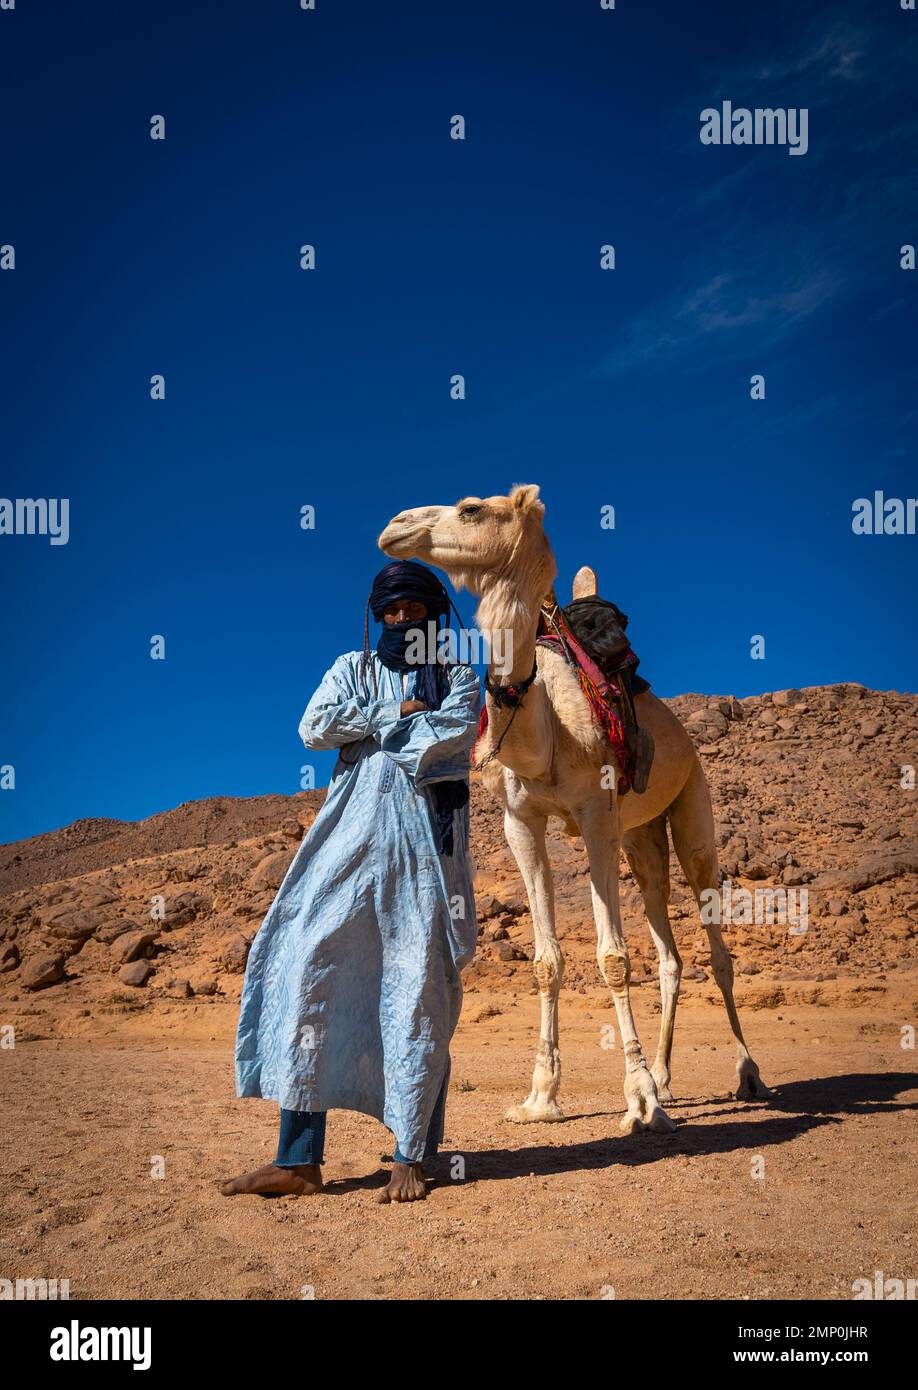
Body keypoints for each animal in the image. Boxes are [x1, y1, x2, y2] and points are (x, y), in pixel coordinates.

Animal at [378, 485, 771, 1134]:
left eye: (470, 509)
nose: (395, 526)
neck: (543, 725)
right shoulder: (521, 822)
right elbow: (546, 961)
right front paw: (540, 1097)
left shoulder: (594, 816)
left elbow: (613, 957)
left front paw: (640, 1100)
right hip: (640, 838)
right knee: (669, 949)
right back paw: (667, 1075)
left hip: (691, 806)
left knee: (716, 942)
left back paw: (747, 1074)